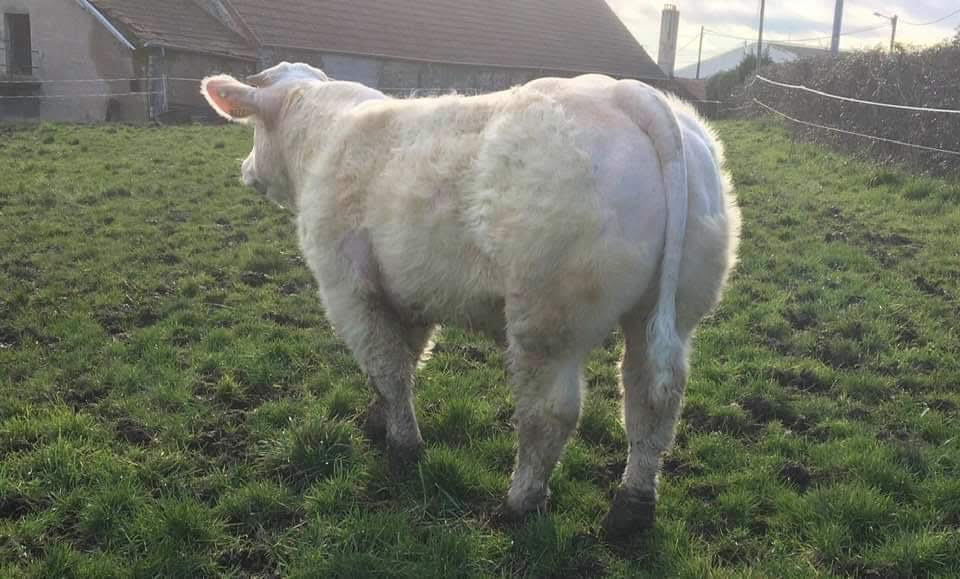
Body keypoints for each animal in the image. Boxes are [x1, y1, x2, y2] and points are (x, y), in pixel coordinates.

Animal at [201, 62, 741, 537]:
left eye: (253, 130)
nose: (245, 169)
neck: (325, 136)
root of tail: (628, 93)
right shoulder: (407, 293)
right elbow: (403, 360)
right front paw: (379, 422)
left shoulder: (349, 289)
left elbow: (387, 368)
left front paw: (404, 448)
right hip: (672, 311)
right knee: (651, 398)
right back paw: (632, 509)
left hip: (546, 323)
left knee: (550, 414)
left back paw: (520, 503)